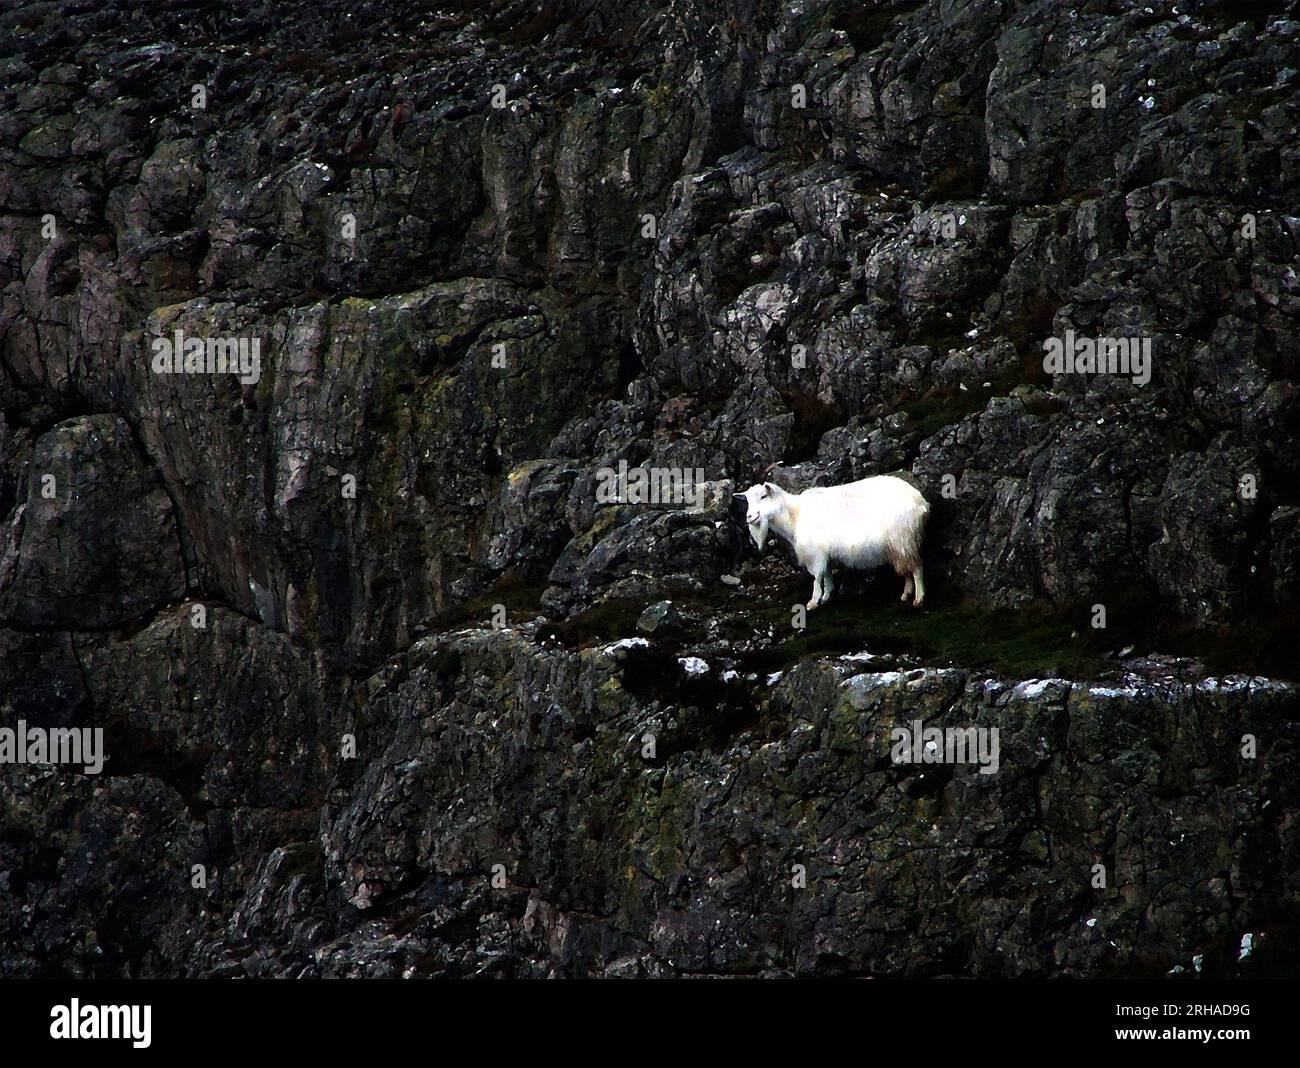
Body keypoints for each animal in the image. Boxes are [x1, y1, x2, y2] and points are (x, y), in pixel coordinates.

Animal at [734, 475, 930, 609]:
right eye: (747, 500)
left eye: (763, 496)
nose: (749, 517)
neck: (795, 515)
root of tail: (920, 501)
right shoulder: (824, 553)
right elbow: (827, 573)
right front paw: (827, 595)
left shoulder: (815, 552)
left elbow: (816, 576)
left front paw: (813, 601)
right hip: (899, 545)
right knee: (906, 568)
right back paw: (906, 594)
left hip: (905, 538)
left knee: (917, 567)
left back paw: (918, 599)